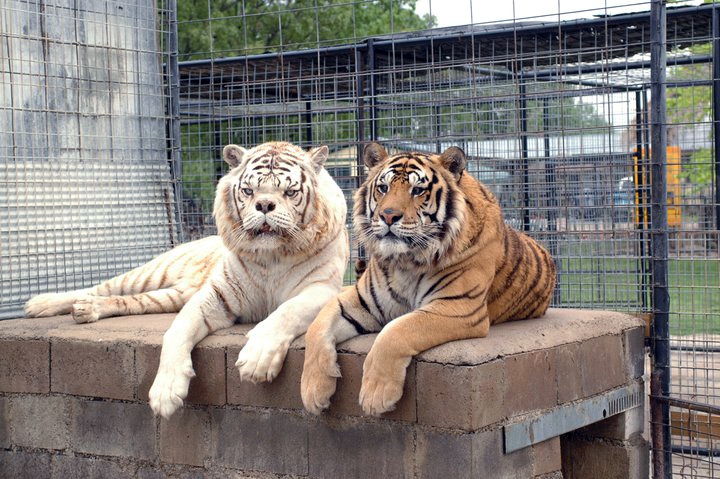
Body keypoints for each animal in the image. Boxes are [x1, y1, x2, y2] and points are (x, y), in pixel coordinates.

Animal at [24, 141, 349, 419]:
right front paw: (165, 392)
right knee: (103, 286)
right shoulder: (215, 295)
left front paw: (256, 360)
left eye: (289, 193)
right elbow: (177, 330)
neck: (272, 258)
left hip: (168, 295)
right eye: (248, 191)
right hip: (151, 274)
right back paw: (40, 304)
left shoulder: (321, 289)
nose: (265, 206)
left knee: (126, 301)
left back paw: (85, 310)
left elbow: (286, 312)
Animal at [301, 143, 556, 417]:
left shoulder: (458, 306)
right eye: (383, 188)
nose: (388, 216)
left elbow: (397, 330)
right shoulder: (360, 300)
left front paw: (376, 396)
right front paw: (313, 393)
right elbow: (317, 326)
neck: (406, 262)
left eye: (417, 190)